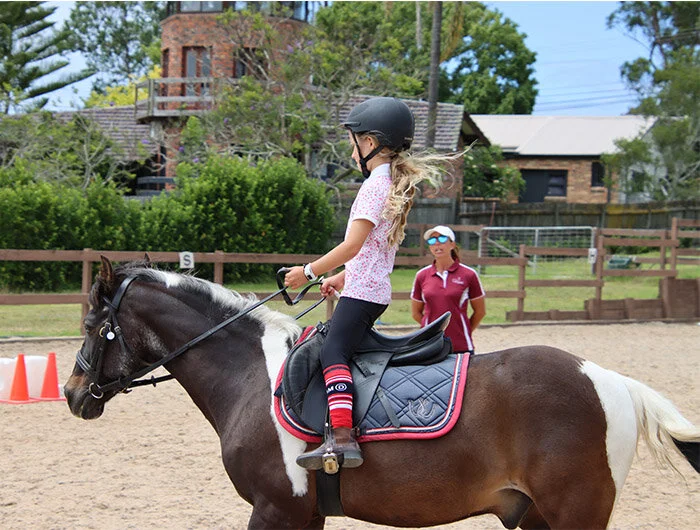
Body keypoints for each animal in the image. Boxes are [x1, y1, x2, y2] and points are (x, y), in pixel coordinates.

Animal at [65, 257, 700, 529]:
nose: (72, 393)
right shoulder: (303, 517)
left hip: (575, 515)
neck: (252, 375)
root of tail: (608, 379)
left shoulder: (276, 510)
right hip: (534, 516)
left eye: (93, 325)